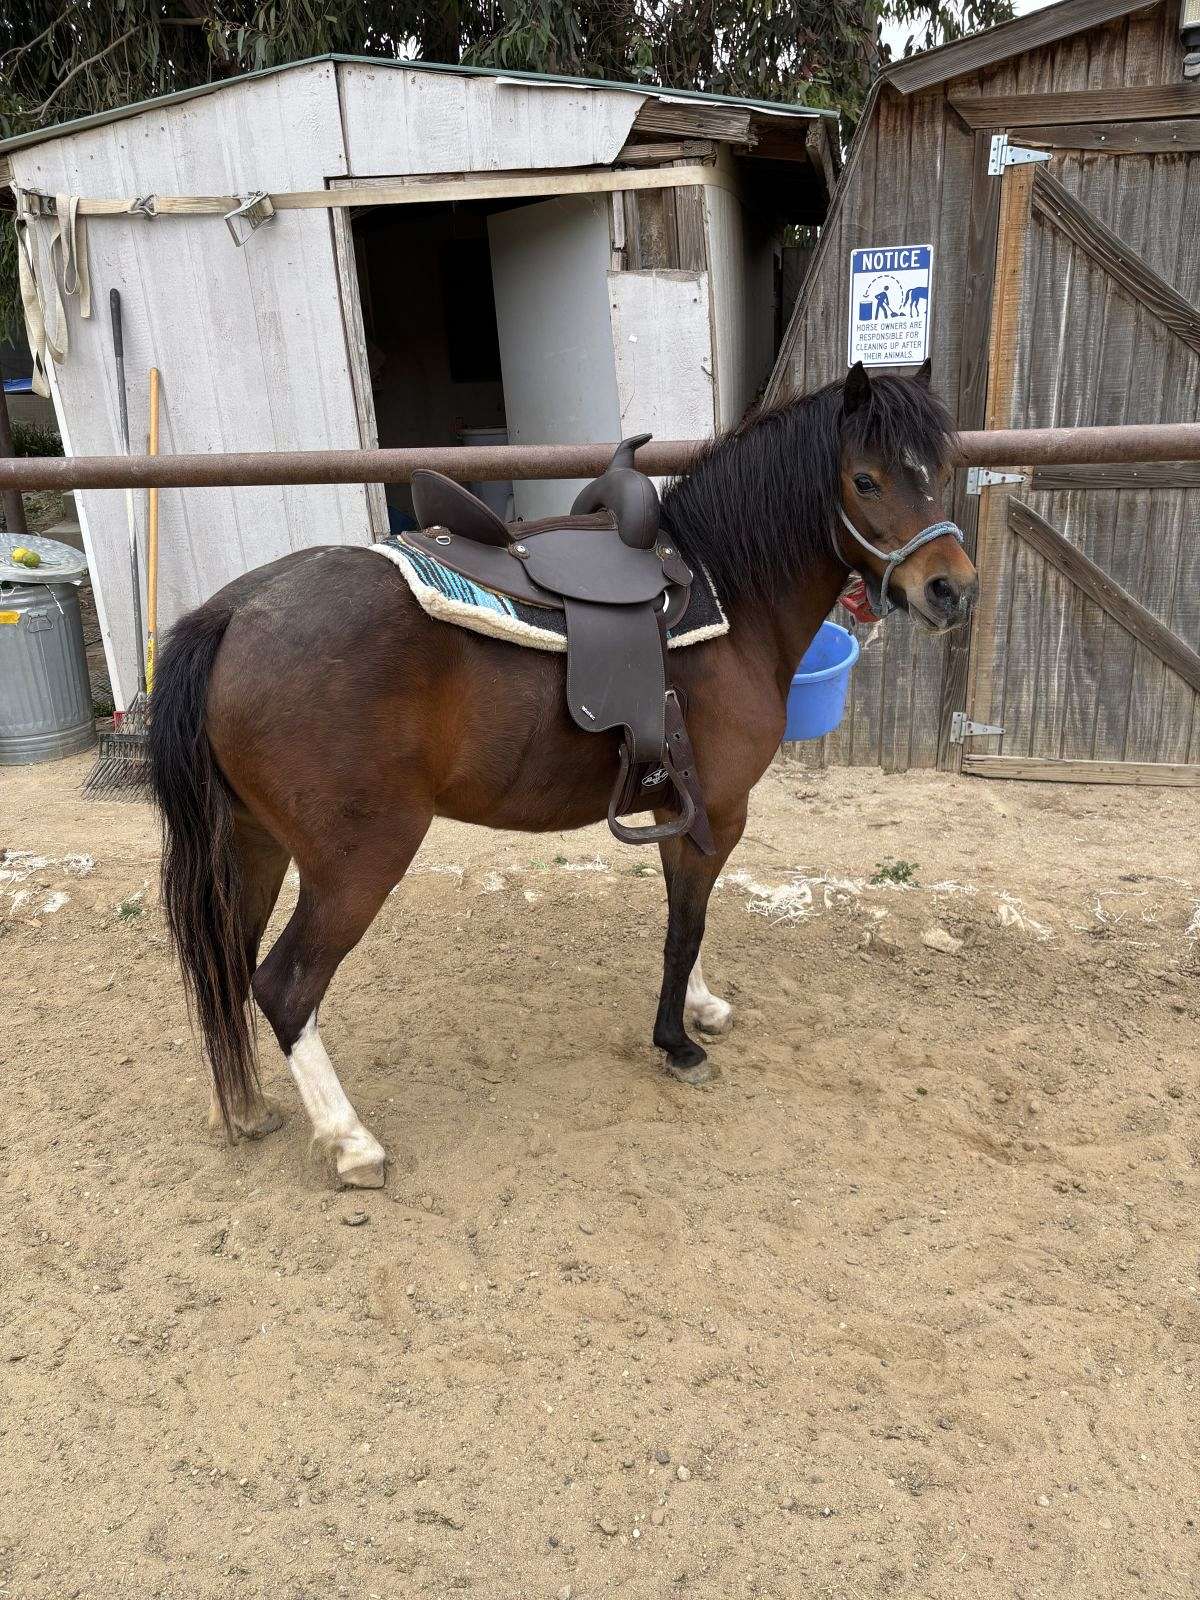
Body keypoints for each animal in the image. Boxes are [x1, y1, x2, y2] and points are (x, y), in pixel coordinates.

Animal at [148, 360, 977, 1189]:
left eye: (940, 471)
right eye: (866, 481)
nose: (953, 590)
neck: (729, 596)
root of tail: (232, 613)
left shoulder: (678, 808)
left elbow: (686, 918)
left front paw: (700, 1006)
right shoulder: (718, 808)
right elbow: (687, 924)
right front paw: (678, 1042)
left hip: (254, 849)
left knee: (226, 968)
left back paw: (243, 1106)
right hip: (357, 865)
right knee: (283, 987)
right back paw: (351, 1142)